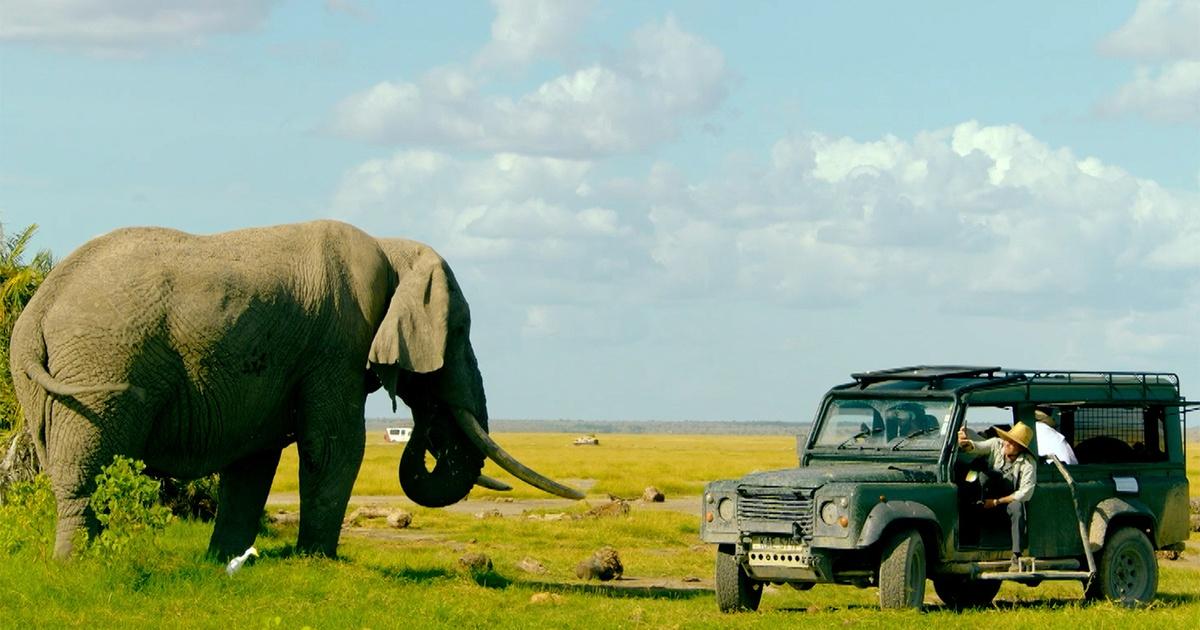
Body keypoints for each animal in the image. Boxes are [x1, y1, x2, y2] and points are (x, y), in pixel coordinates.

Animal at [8, 220, 582, 559]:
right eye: (459, 332)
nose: (418, 412)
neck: (392, 250)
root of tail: (37, 308)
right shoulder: (337, 342)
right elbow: (335, 446)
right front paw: (319, 561)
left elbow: (253, 460)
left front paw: (226, 562)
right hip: (101, 366)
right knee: (87, 469)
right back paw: (78, 564)